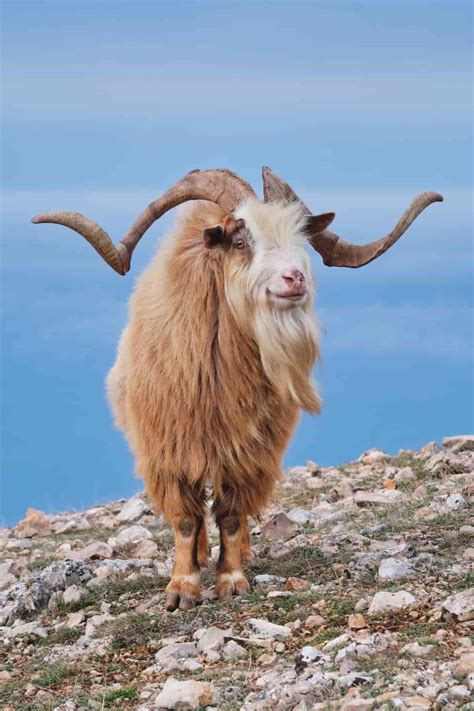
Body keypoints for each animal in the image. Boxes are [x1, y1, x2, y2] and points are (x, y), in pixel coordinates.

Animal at [32, 167, 442, 610]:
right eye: (242, 241)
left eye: (300, 239)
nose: (295, 278)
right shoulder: (171, 451)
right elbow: (185, 519)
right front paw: (183, 588)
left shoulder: (246, 453)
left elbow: (230, 516)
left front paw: (231, 579)